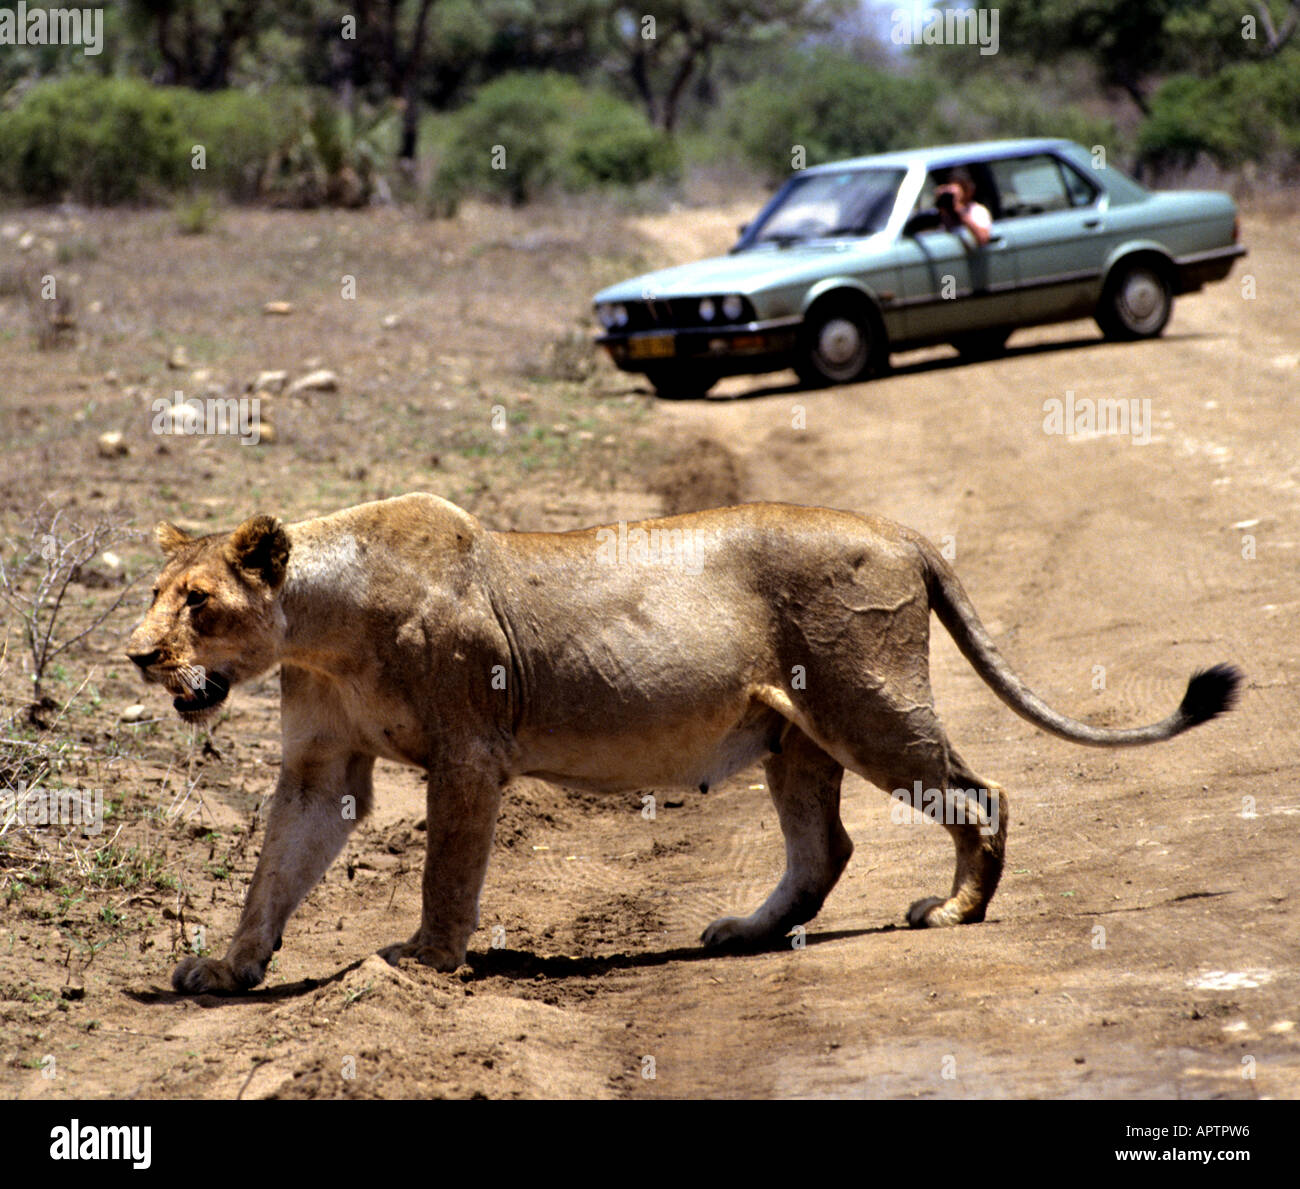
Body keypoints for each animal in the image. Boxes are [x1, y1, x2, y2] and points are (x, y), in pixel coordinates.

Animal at [125, 494, 1240, 994]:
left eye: (200, 601)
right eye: (156, 593)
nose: (138, 655)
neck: (321, 623)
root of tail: (903, 532)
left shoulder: (471, 749)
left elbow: (447, 870)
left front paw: (424, 963)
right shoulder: (322, 768)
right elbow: (274, 869)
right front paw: (228, 967)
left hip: (867, 704)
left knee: (981, 790)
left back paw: (956, 909)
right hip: (797, 733)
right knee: (823, 847)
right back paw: (746, 930)